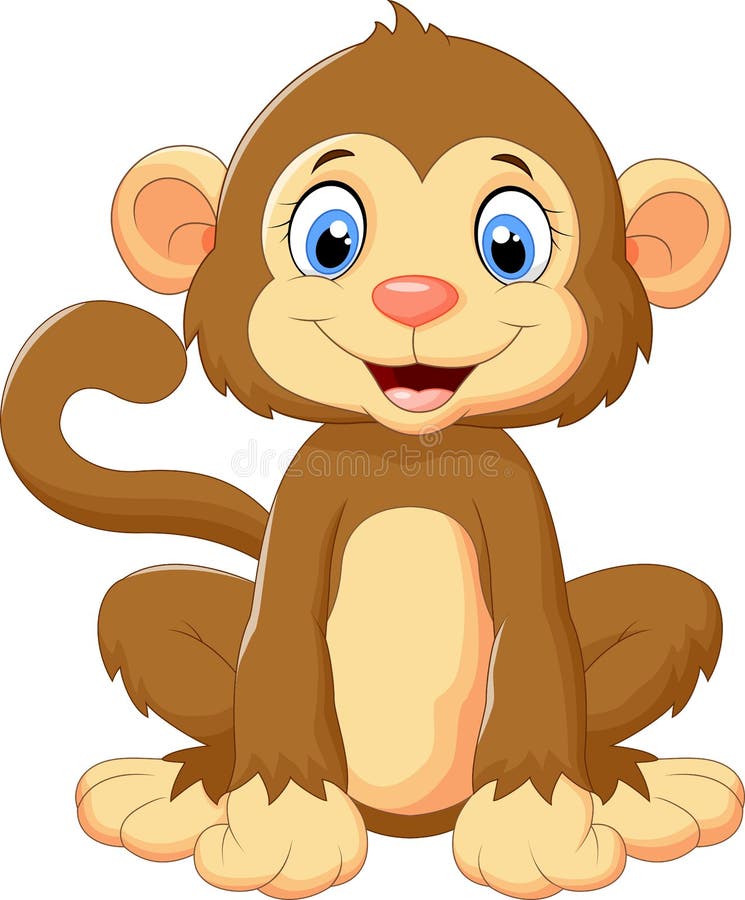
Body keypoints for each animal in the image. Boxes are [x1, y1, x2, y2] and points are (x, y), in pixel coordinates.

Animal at [1, 3, 741, 898]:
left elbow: (536, 634)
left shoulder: (512, 495)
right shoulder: (307, 497)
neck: (407, 455)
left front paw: (530, 819)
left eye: (509, 243)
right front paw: (283, 817)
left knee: (670, 604)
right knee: (147, 608)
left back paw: (631, 784)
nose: (412, 296)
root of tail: (410, 826)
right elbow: (279, 633)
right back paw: (190, 784)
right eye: (331, 238)